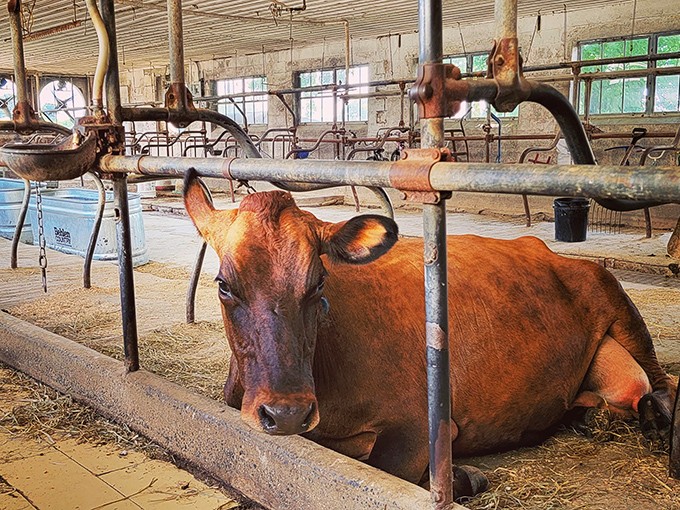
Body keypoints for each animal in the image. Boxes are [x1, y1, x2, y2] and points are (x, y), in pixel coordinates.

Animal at [183, 168, 677, 499]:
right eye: (223, 284)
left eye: (319, 282)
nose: (286, 414)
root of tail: (544, 248)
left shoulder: (420, 425)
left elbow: (391, 467)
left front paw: (460, 478)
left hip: (618, 302)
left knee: (661, 381)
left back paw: (658, 424)